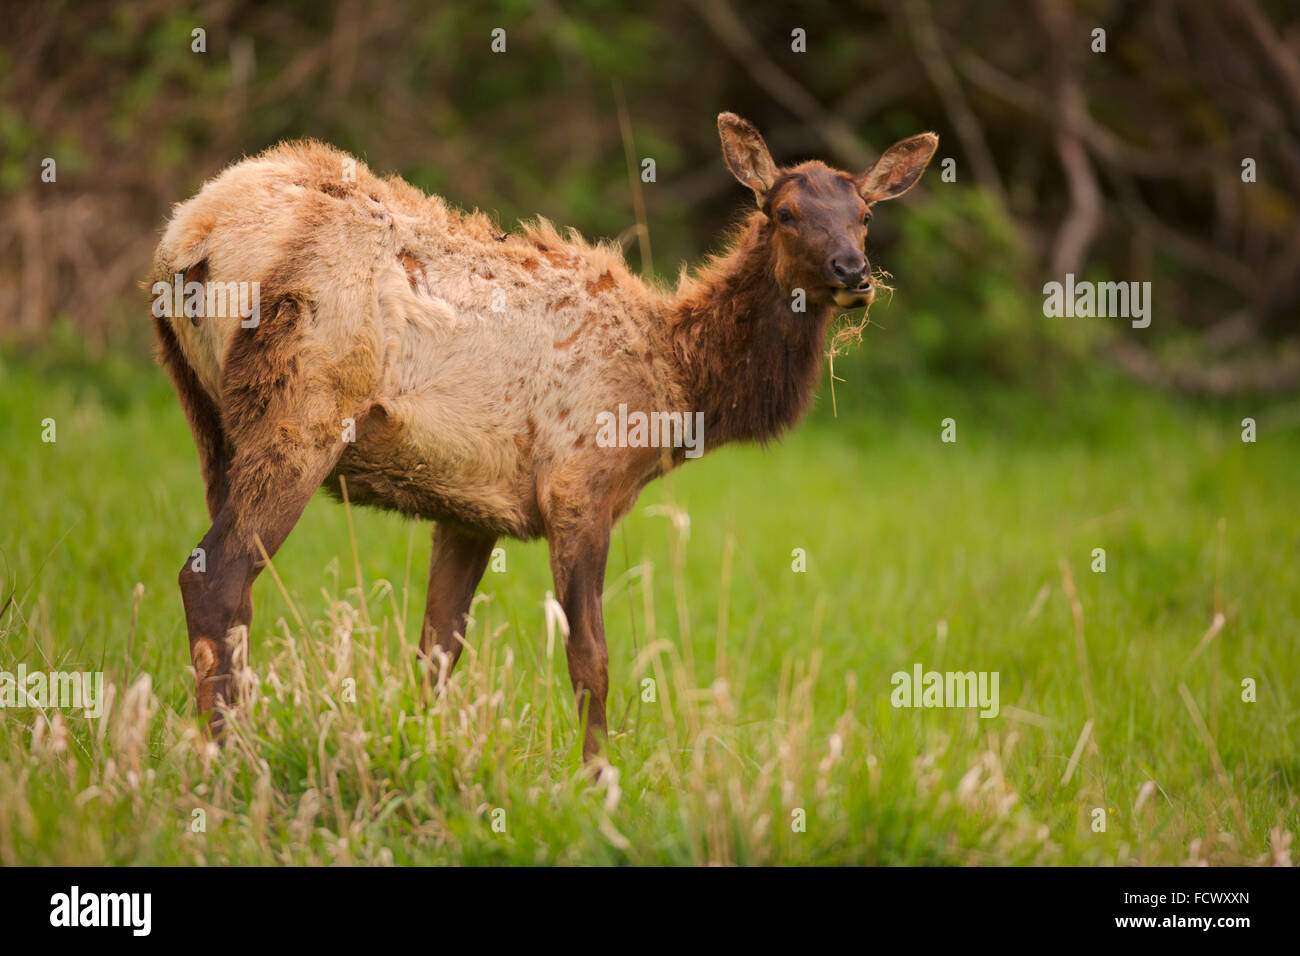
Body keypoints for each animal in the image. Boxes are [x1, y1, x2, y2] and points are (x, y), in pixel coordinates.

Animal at [151, 113, 937, 764]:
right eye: (784, 212)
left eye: (865, 215)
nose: (854, 273)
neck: (677, 389)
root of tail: (189, 237)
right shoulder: (579, 484)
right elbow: (591, 657)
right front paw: (596, 779)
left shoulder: (468, 507)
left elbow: (437, 649)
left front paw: (421, 751)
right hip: (303, 409)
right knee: (215, 575)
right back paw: (230, 760)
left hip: (209, 421)